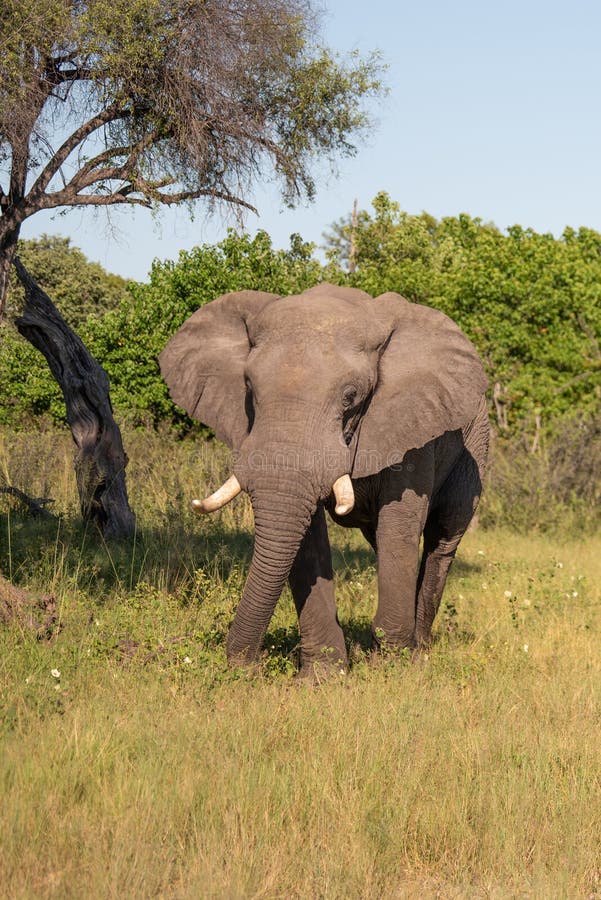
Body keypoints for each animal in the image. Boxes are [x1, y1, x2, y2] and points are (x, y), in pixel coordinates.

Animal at [159, 284, 489, 676]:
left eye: (350, 396)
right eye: (249, 387)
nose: (249, 665)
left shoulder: (414, 426)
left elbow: (399, 525)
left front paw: (394, 670)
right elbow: (306, 537)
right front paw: (324, 677)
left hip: (474, 448)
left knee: (442, 537)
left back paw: (420, 649)